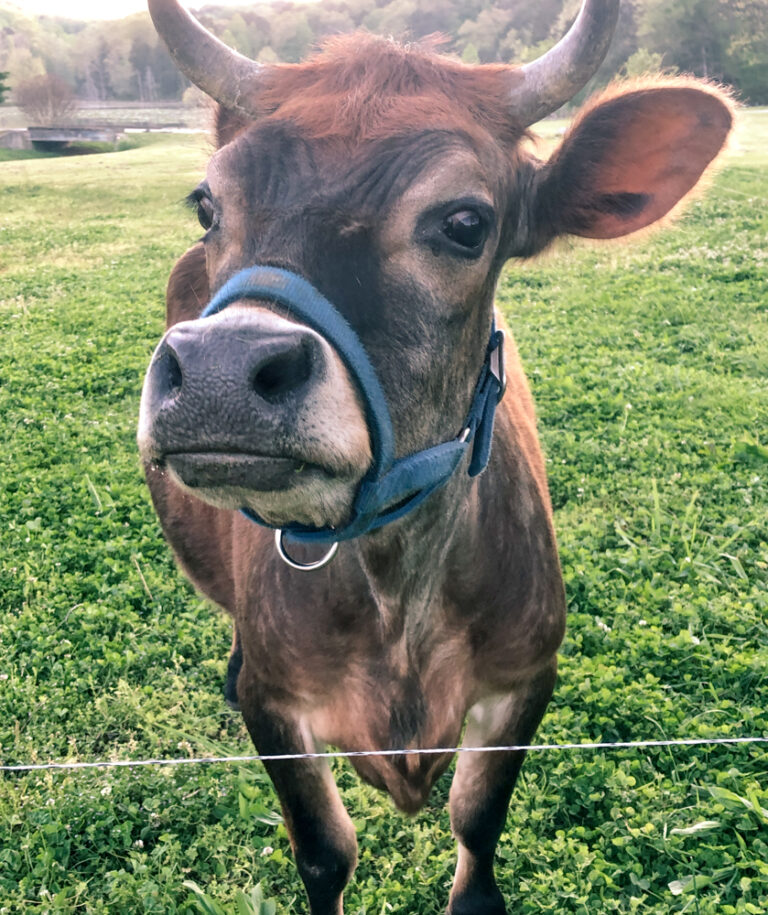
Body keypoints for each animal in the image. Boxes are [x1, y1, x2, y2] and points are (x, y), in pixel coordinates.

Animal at [137, 1, 733, 912]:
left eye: (464, 223)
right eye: (209, 205)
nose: (220, 372)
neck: (401, 595)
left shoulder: (527, 678)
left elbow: (476, 826)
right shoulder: (276, 707)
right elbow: (325, 851)